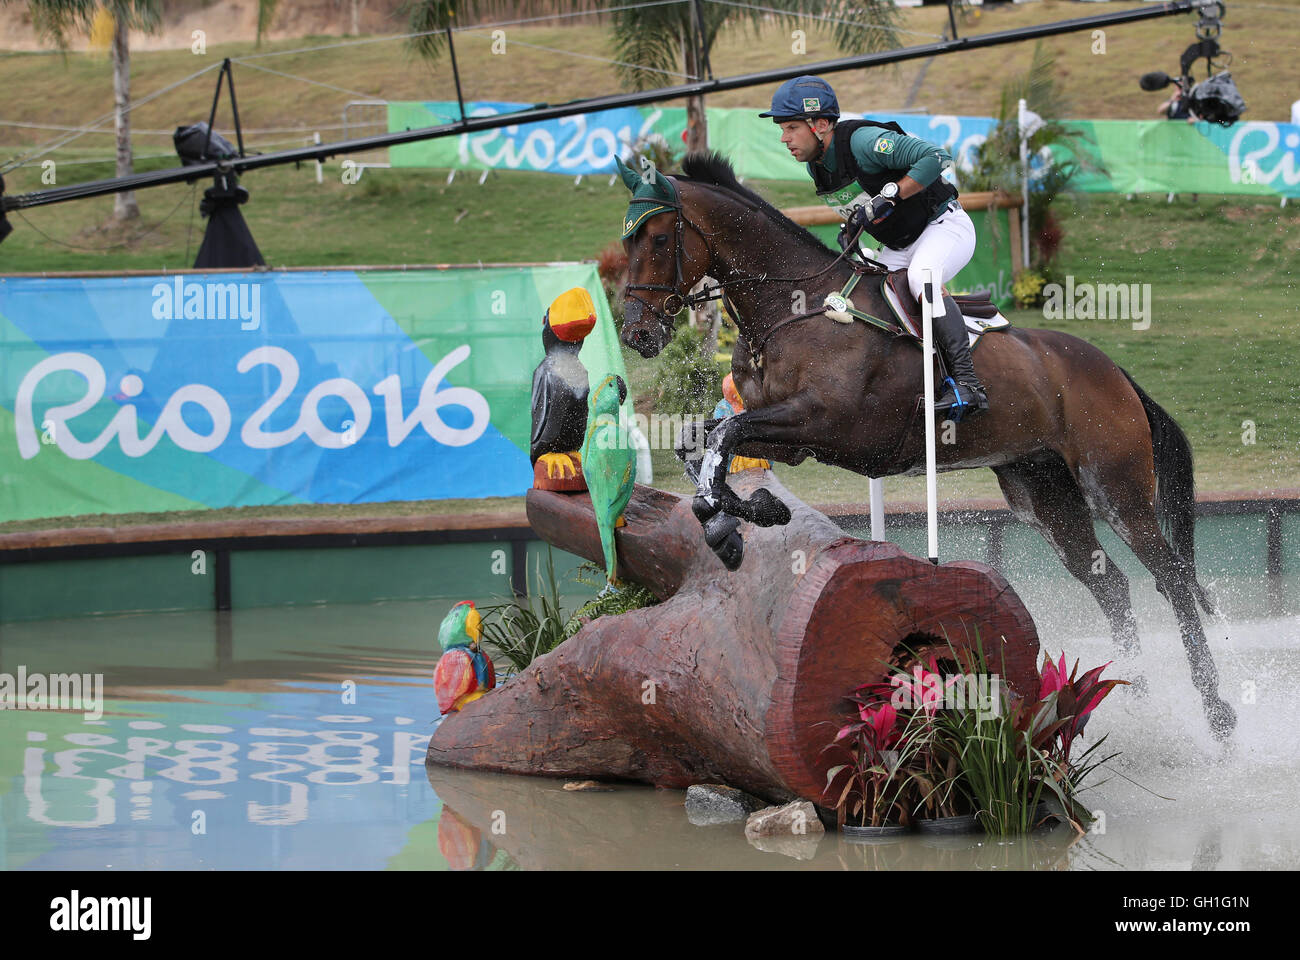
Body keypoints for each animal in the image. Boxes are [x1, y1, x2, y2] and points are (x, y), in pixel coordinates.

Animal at [617, 151, 1236, 740]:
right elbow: (702, 442)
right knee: (1109, 583)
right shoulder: (786, 434)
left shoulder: (824, 423)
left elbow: (724, 437)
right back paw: (1124, 694)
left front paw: (738, 520)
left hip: (1115, 487)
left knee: (1173, 580)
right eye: (626, 242)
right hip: (1041, 492)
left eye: (657, 239)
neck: (795, 307)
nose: (634, 333)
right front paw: (734, 517)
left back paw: (1217, 713)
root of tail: (1113, 370)